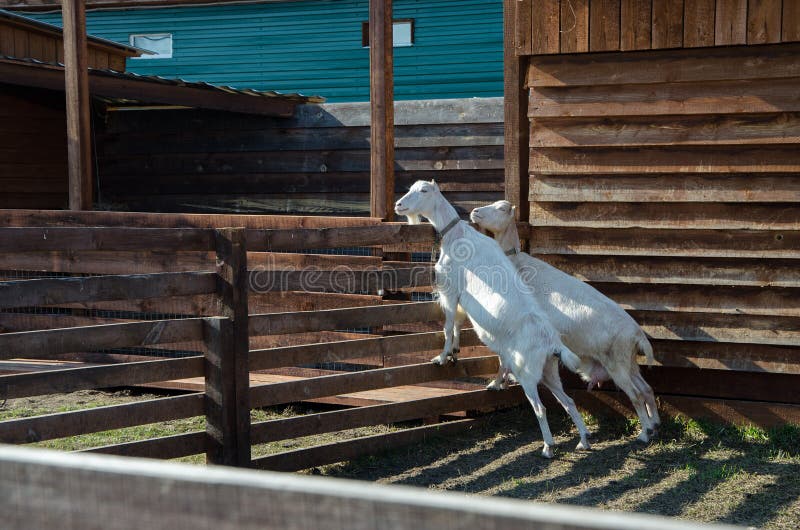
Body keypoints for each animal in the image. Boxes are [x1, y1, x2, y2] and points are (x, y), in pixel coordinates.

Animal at [395, 180, 591, 458]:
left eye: (423, 191)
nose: (399, 205)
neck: (457, 235)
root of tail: (552, 343)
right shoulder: (461, 298)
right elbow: (457, 324)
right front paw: (454, 352)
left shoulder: (451, 289)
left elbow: (447, 326)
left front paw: (441, 357)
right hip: (548, 371)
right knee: (569, 401)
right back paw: (583, 440)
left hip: (527, 372)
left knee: (540, 408)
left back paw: (548, 447)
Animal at [470, 200, 660, 442]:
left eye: (502, 209)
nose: (475, 212)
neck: (516, 264)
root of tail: (638, 334)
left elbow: (502, 357)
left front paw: (495, 384)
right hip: (628, 362)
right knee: (647, 389)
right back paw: (654, 425)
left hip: (616, 363)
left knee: (636, 395)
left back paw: (644, 434)